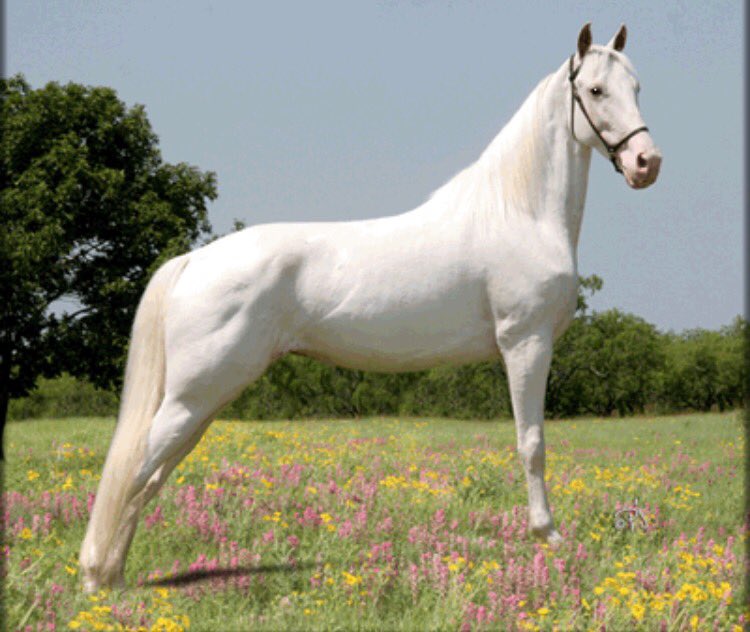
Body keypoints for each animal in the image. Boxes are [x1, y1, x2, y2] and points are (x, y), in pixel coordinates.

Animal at [80, 23, 661, 591]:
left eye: (636, 88)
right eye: (595, 91)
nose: (646, 163)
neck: (516, 213)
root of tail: (192, 261)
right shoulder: (526, 343)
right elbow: (532, 442)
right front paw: (549, 536)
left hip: (201, 401)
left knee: (150, 476)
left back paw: (114, 576)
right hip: (194, 395)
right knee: (134, 470)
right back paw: (94, 579)